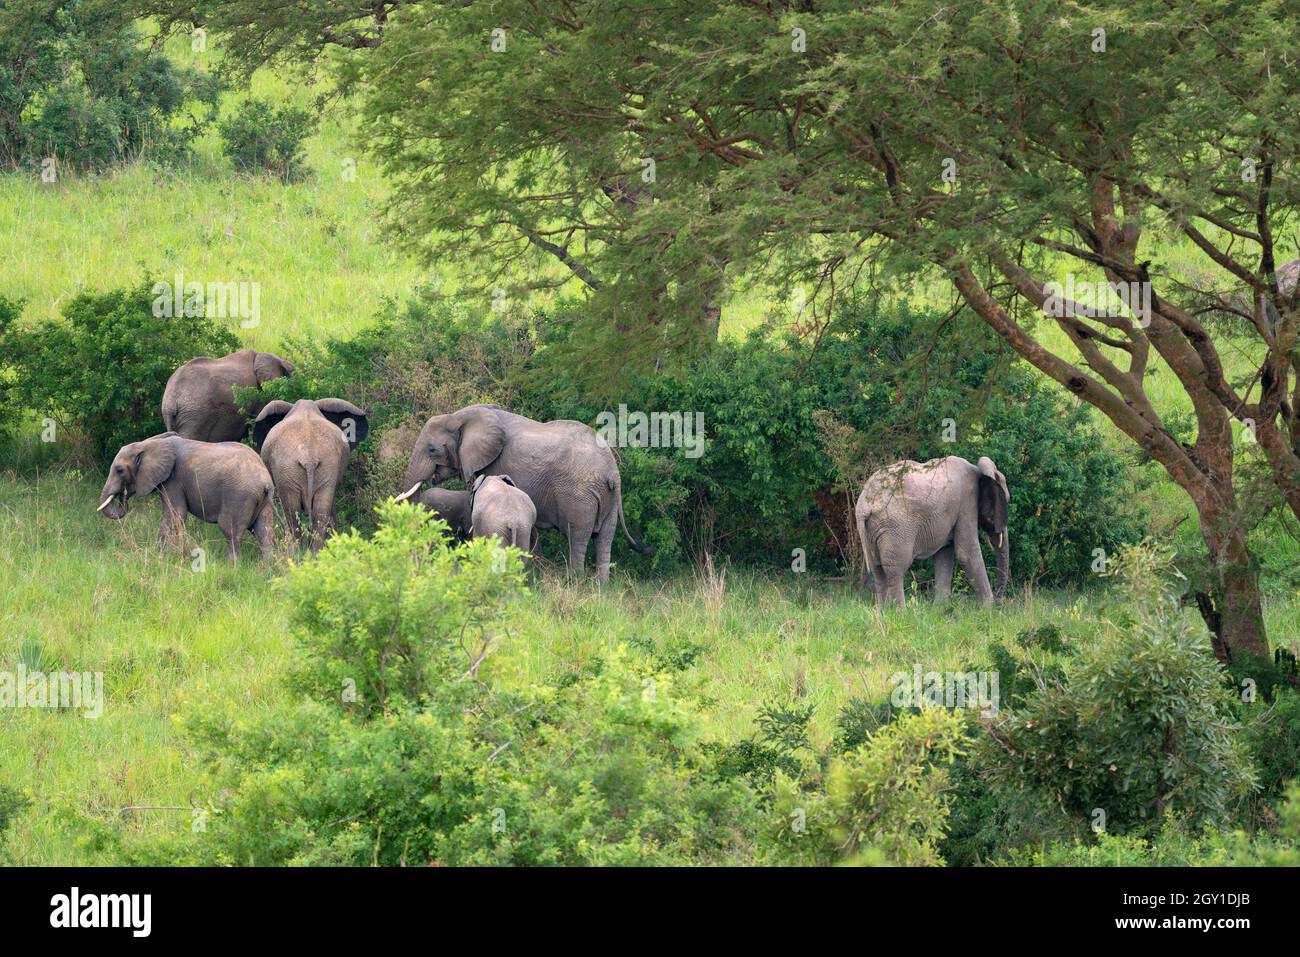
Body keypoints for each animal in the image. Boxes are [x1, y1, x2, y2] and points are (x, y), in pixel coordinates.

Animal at [96, 432, 275, 563]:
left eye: (120, 470)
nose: (123, 495)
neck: (147, 444)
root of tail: (265, 481)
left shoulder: (173, 479)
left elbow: (176, 515)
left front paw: (158, 557)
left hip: (238, 496)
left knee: (231, 532)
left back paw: (232, 567)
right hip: (264, 500)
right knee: (264, 533)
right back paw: (266, 569)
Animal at [399, 403, 650, 582]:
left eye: (432, 450)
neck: (460, 416)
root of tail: (612, 472)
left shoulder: (495, 465)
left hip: (579, 496)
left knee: (577, 537)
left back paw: (575, 583)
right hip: (609, 499)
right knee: (604, 538)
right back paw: (601, 588)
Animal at [855, 455, 1010, 606]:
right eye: (1007, 500)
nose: (999, 603)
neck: (979, 471)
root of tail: (863, 505)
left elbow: (944, 554)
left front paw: (940, 609)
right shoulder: (967, 503)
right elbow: (966, 553)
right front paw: (988, 609)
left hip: (872, 529)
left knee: (877, 569)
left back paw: (883, 611)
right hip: (894, 527)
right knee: (896, 568)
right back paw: (899, 611)